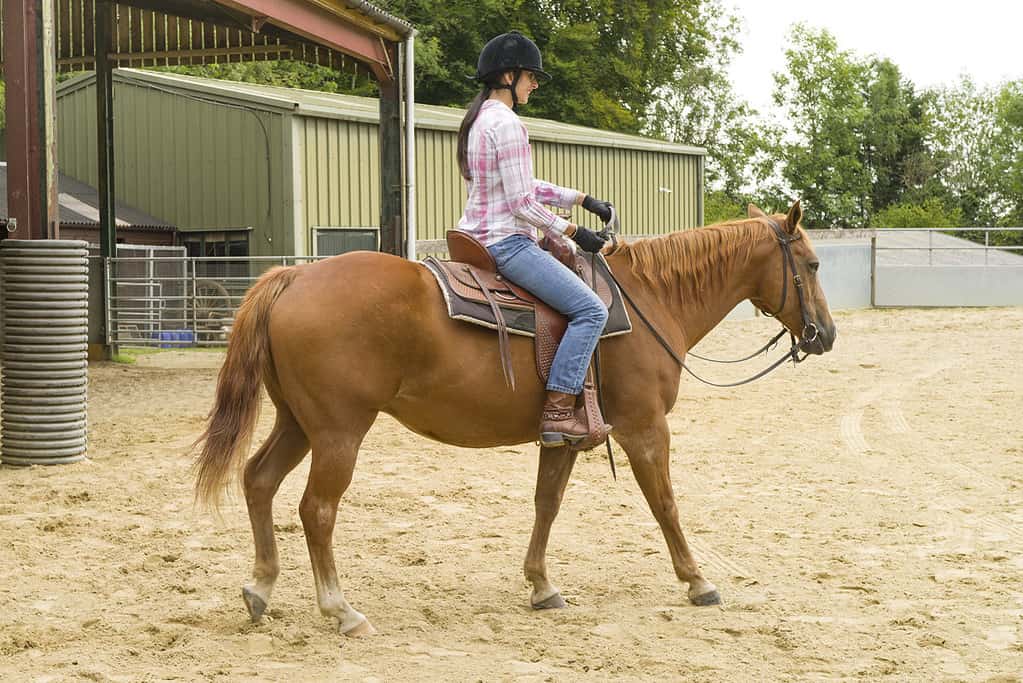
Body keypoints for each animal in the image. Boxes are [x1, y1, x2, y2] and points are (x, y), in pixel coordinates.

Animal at [193, 200, 836, 636]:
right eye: (810, 263)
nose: (825, 334)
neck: (650, 302)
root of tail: (296, 275)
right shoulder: (645, 429)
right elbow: (666, 504)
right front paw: (698, 580)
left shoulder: (564, 435)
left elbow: (546, 504)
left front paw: (542, 586)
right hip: (338, 431)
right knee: (316, 509)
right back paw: (342, 610)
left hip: (297, 423)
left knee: (258, 481)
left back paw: (260, 588)